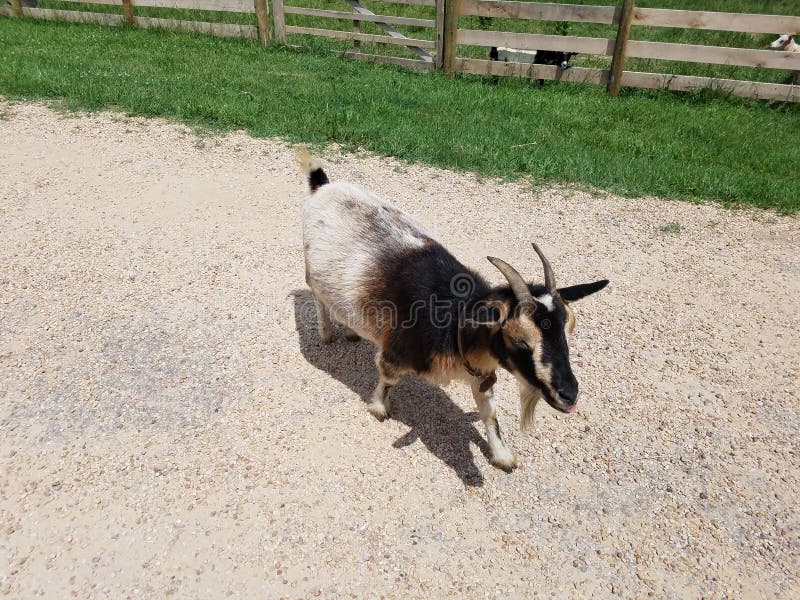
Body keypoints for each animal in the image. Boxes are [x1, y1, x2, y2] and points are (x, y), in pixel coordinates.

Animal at [299, 148, 608, 470]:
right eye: (519, 340)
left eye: (567, 330)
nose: (569, 394)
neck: (454, 320)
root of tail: (324, 186)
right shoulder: (395, 353)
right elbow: (388, 378)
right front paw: (379, 408)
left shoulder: (481, 372)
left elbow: (489, 412)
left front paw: (502, 455)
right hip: (312, 272)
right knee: (317, 297)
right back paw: (327, 333)